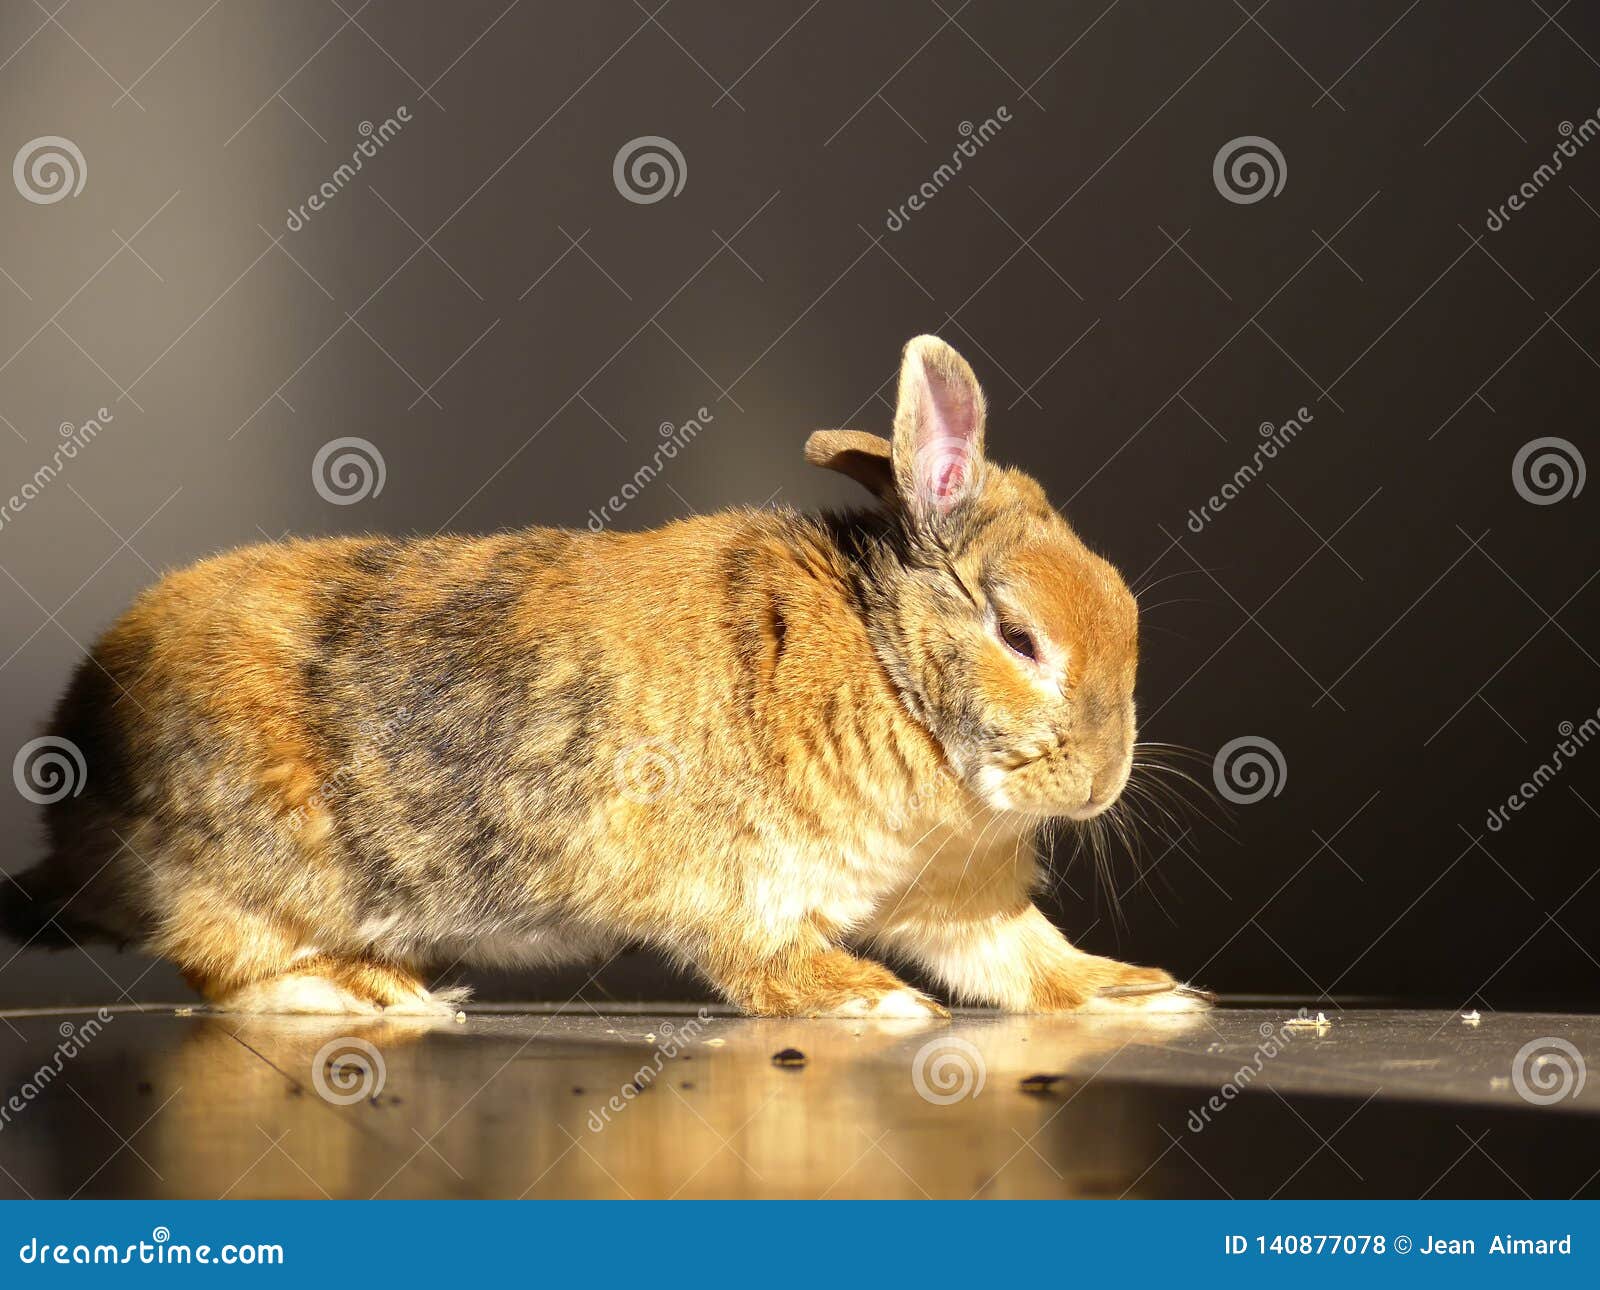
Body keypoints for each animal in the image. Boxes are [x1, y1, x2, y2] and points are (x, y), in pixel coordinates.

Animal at [0, 335, 1208, 1018]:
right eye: (1019, 635)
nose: (1102, 780)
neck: (885, 660)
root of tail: (78, 812)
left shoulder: (953, 896)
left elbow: (1023, 959)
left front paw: (1140, 994)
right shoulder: (729, 886)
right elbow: (765, 959)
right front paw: (871, 1002)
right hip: (241, 875)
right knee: (223, 967)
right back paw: (370, 995)